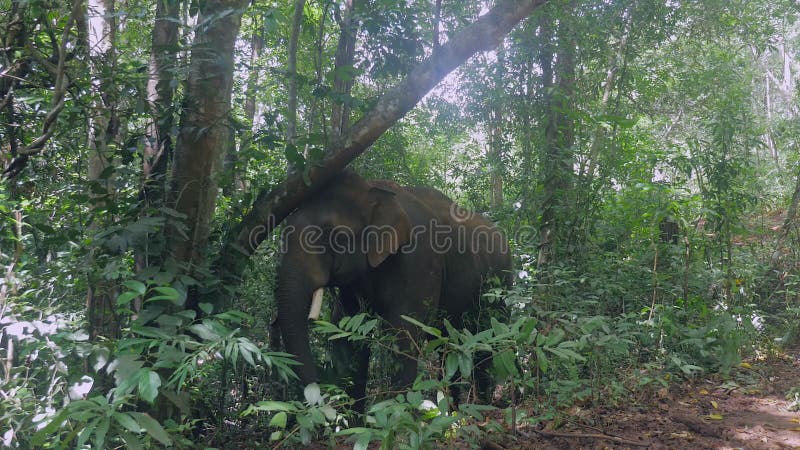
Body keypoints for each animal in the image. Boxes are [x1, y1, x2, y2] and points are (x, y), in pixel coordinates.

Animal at [274, 170, 511, 411]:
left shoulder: (419, 257)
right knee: (449, 344)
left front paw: (396, 414)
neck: (373, 190)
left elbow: (403, 329)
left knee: (487, 336)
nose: (318, 395)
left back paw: (483, 406)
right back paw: (454, 410)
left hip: (500, 282)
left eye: (334, 234)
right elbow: (348, 330)